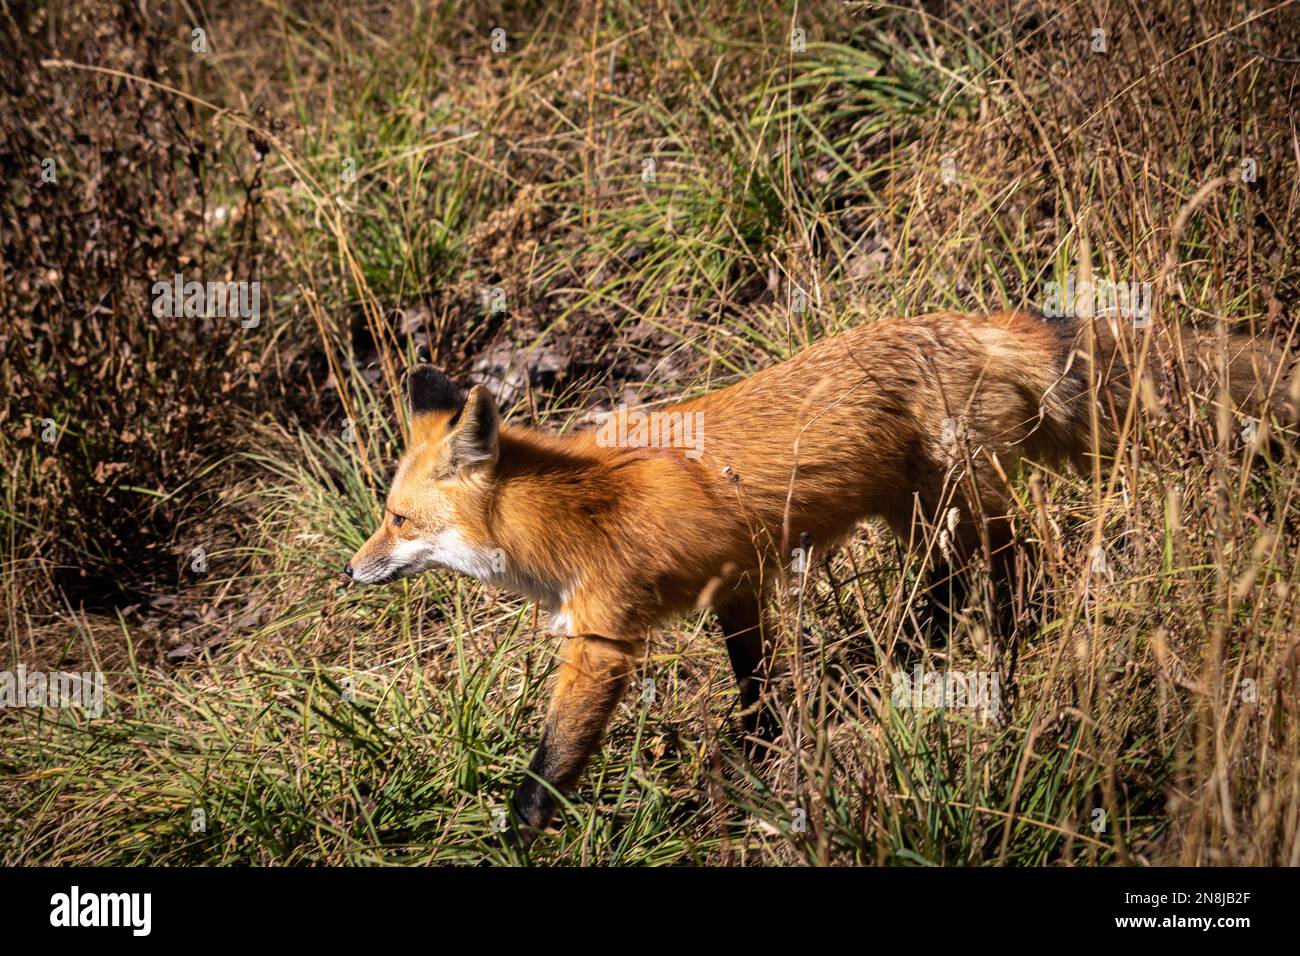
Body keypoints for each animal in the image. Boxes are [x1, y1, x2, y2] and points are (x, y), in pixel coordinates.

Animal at [345, 308, 1295, 844]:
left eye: (398, 520)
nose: (352, 571)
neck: (573, 510)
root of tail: (973, 320)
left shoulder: (605, 637)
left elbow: (553, 758)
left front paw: (519, 828)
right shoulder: (737, 585)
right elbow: (756, 683)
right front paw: (759, 751)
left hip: (958, 498)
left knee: (1018, 569)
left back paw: (1001, 653)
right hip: (917, 511)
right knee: (947, 587)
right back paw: (911, 653)